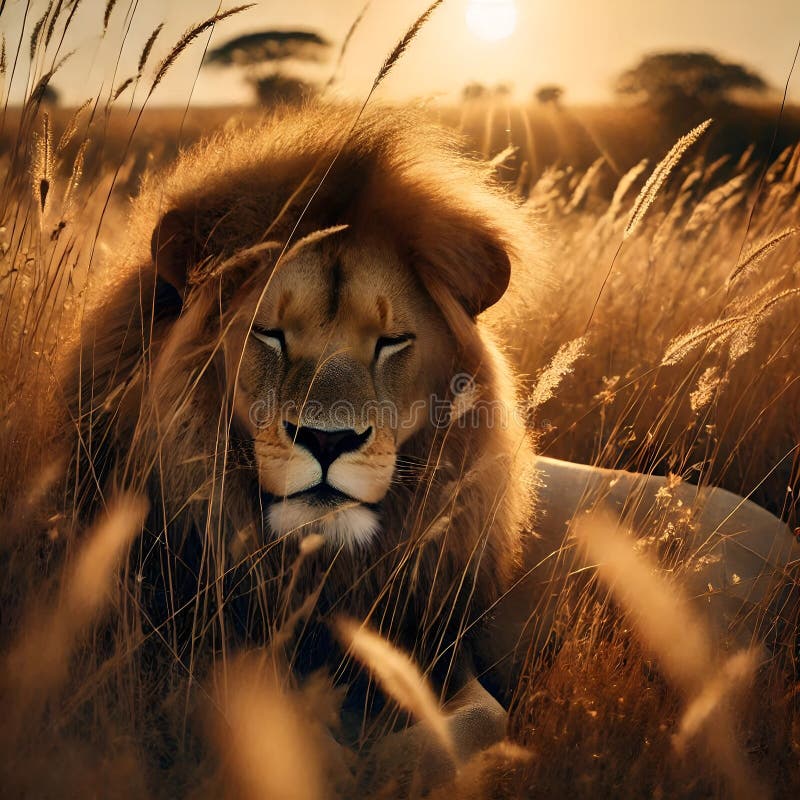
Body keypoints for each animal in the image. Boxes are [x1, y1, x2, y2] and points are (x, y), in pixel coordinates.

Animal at [63, 102, 798, 788]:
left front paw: (380, 767)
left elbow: (471, 728)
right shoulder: (160, 647)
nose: (327, 438)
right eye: (266, 334)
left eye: (391, 342)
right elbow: (209, 703)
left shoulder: (444, 658)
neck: (324, 569)